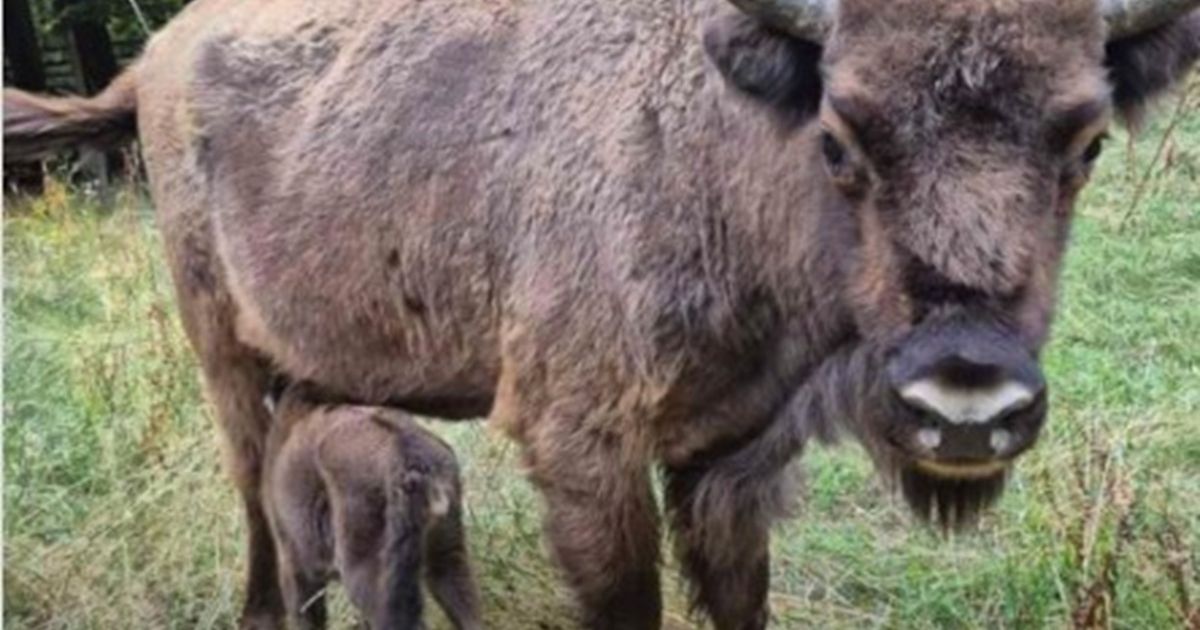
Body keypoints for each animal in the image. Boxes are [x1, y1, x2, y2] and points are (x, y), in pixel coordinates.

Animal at [4, 0, 1198, 628]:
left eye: (1088, 142)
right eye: (839, 134)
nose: (963, 401)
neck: (725, 147)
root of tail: (155, 56)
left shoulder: (729, 461)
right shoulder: (589, 452)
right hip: (219, 349)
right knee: (255, 495)